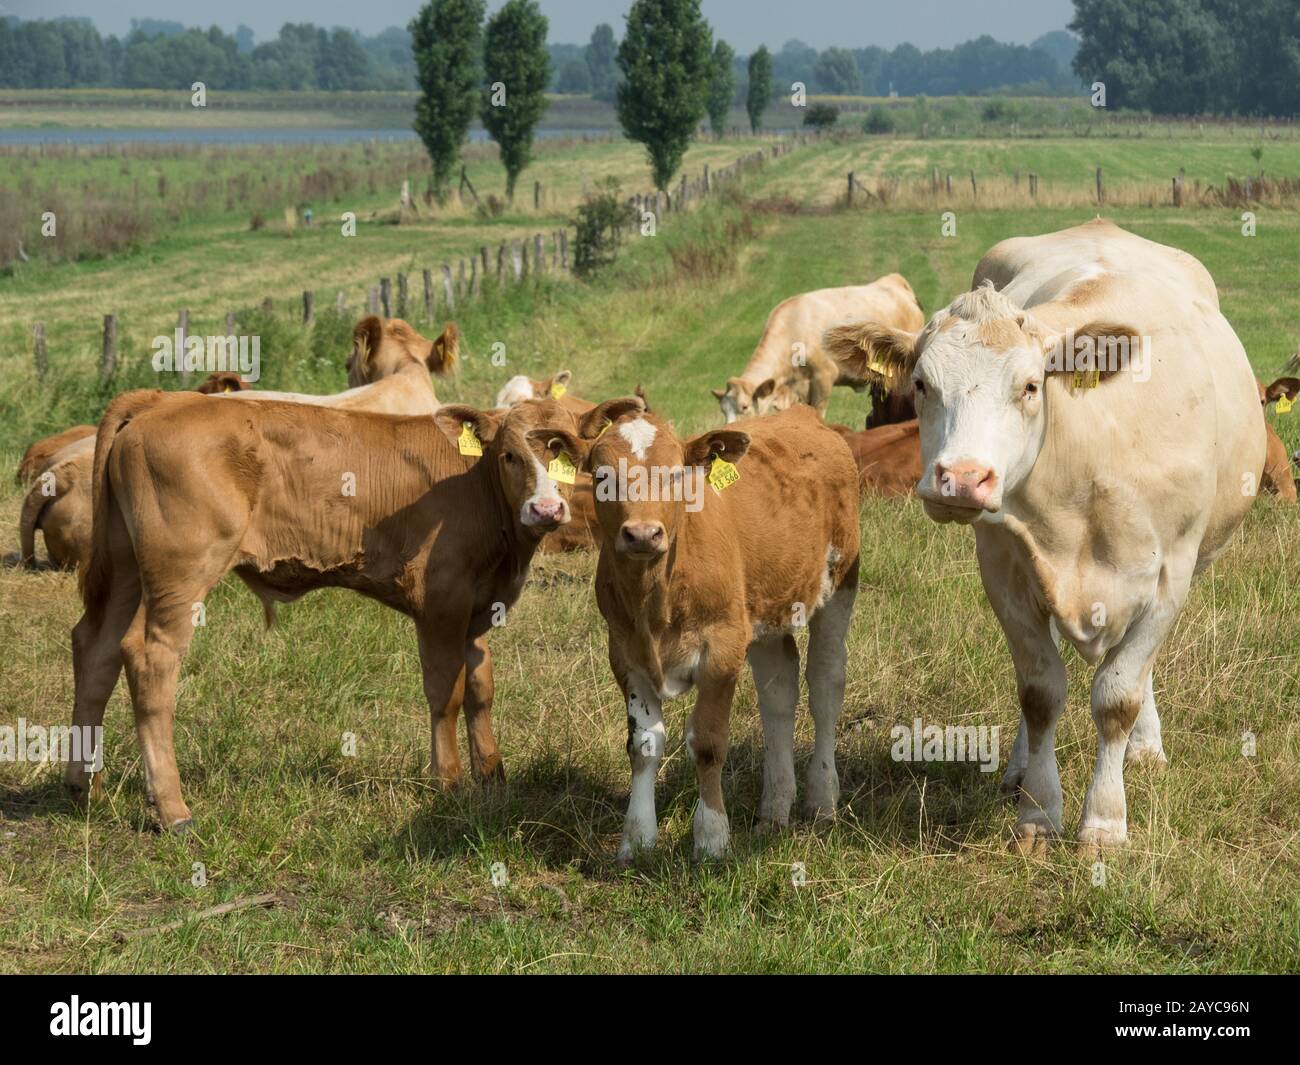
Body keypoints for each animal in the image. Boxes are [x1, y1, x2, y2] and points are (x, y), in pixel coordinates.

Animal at [65, 390, 612, 831]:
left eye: (568, 453)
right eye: (509, 455)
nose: (546, 510)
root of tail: (162, 400)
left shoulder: (478, 606)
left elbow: (481, 687)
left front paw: (492, 775)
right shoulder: (442, 601)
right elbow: (447, 694)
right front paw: (449, 782)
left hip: (126, 567)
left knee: (96, 648)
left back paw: (83, 786)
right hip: (180, 574)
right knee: (149, 659)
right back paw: (172, 808)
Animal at [573, 401, 860, 862]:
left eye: (675, 475)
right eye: (602, 477)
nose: (642, 534)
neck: (657, 597)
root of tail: (804, 414)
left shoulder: (722, 649)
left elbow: (707, 743)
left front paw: (711, 837)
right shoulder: (624, 654)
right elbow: (643, 746)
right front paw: (637, 838)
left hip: (839, 587)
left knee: (825, 685)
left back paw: (821, 801)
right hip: (763, 611)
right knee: (778, 695)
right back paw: (774, 810)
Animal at [825, 219, 1265, 853]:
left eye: (1031, 386)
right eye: (923, 384)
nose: (962, 479)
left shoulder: (1170, 578)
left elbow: (1119, 696)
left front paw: (1105, 821)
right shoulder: (1005, 573)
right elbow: (1039, 693)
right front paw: (1037, 812)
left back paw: (1144, 749)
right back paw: (1017, 768)